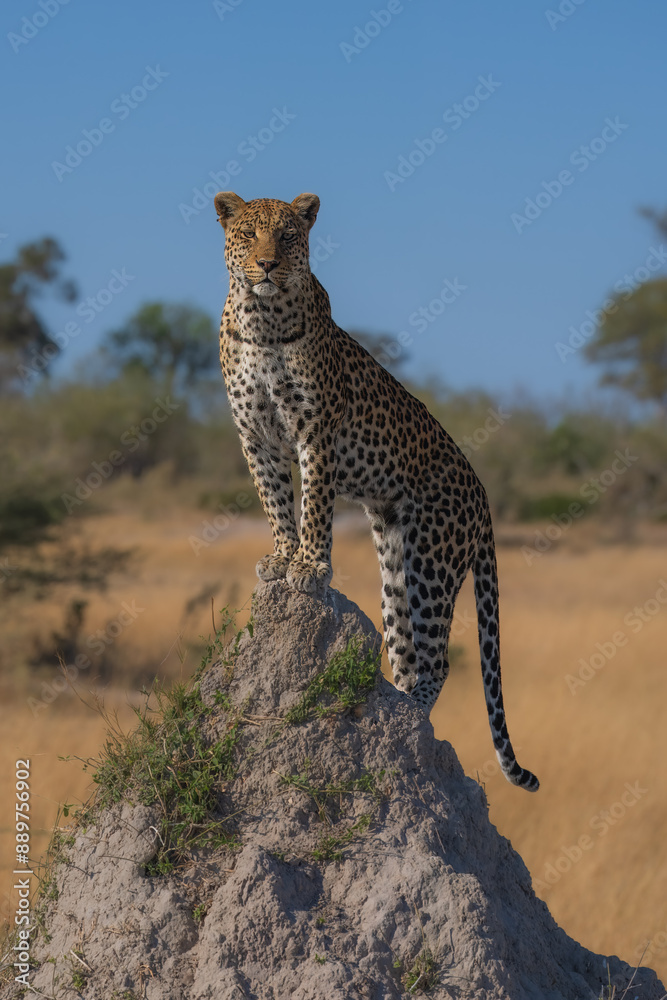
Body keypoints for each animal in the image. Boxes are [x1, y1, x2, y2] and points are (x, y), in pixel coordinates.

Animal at [214, 190, 539, 792]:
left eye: (288, 236)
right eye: (248, 235)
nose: (267, 265)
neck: (262, 320)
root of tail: (482, 492)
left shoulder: (315, 430)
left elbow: (313, 504)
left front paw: (310, 567)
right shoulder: (255, 436)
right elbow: (276, 502)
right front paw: (281, 558)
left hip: (433, 561)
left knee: (438, 661)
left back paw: (410, 724)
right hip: (394, 560)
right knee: (406, 655)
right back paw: (401, 710)